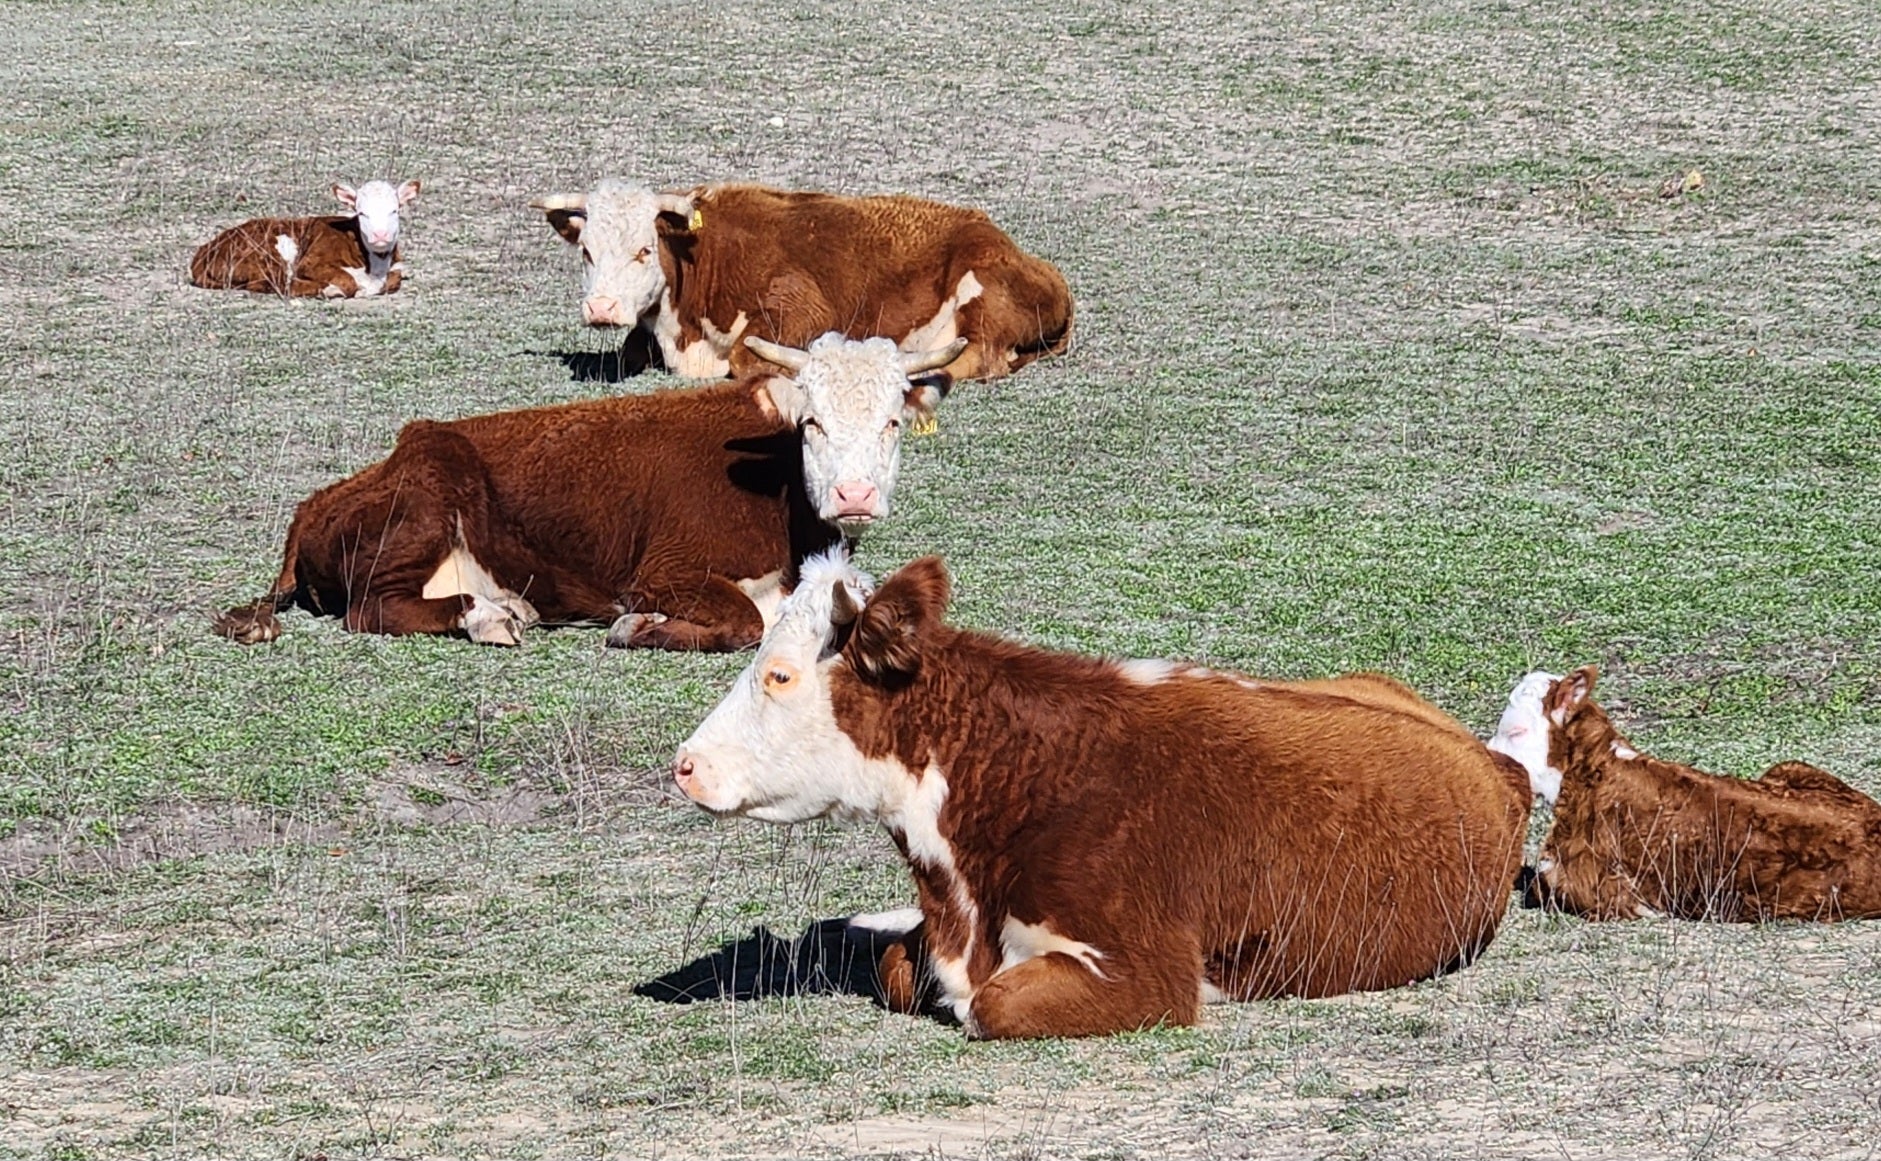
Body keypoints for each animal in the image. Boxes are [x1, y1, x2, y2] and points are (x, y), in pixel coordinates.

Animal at [190, 179, 421, 298]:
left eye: (394, 210)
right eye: (362, 213)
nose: (380, 235)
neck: (374, 267)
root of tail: (203, 252)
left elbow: (394, 279)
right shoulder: (312, 262)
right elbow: (347, 281)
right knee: (276, 282)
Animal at [212, 333, 965, 649]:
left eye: (892, 420)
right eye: (812, 421)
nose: (854, 495)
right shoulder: (666, 571)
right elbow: (743, 623)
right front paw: (639, 627)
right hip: (425, 501)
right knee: (372, 609)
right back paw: (489, 618)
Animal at [532, 181, 1073, 383]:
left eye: (644, 250)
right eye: (586, 251)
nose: (601, 308)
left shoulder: (801, 307)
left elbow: (747, 358)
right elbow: (626, 351)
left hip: (981, 295)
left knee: (976, 357)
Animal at [671, 551, 1534, 1039]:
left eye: (780, 674)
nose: (684, 763)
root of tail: (1496, 766)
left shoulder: (1144, 969)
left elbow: (991, 1005)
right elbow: (893, 963)